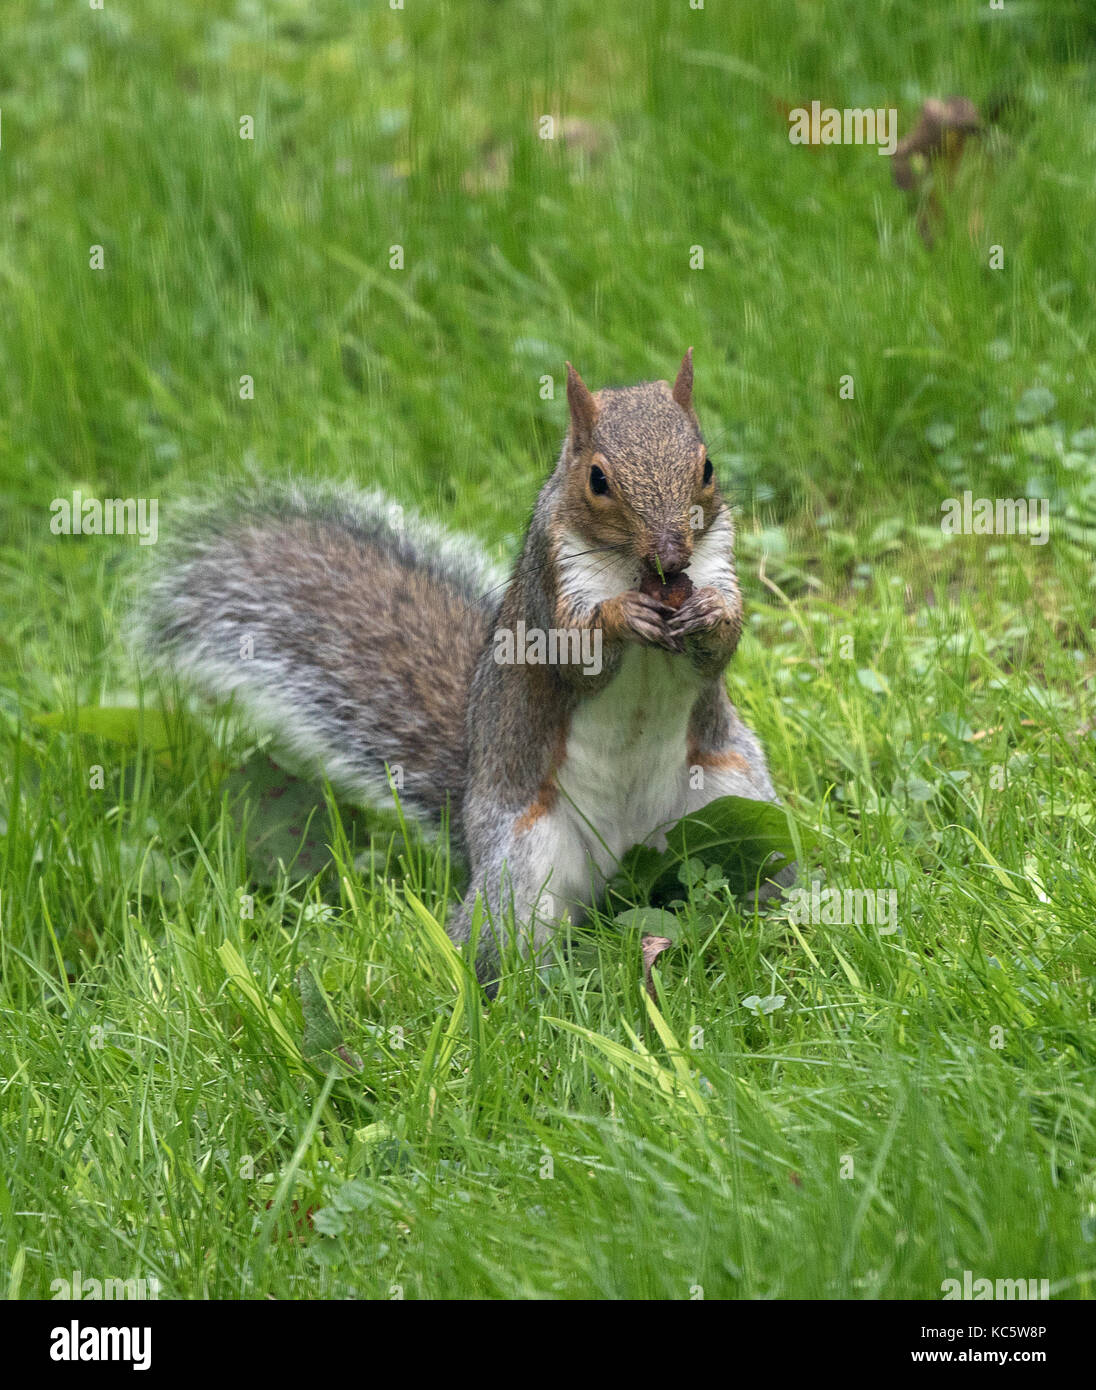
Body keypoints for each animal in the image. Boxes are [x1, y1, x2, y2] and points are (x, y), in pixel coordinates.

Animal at [137, 351, 790, 984]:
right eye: (598, 480)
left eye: (707, 467)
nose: (672, 555)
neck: (634, 570)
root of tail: (626, 860)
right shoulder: (548, 585)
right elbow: (575, 657)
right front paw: (622, 616)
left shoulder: (716, 557)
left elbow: (719, 646)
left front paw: (709, 613)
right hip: (522, 865)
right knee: (503, 944)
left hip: (734, 798)